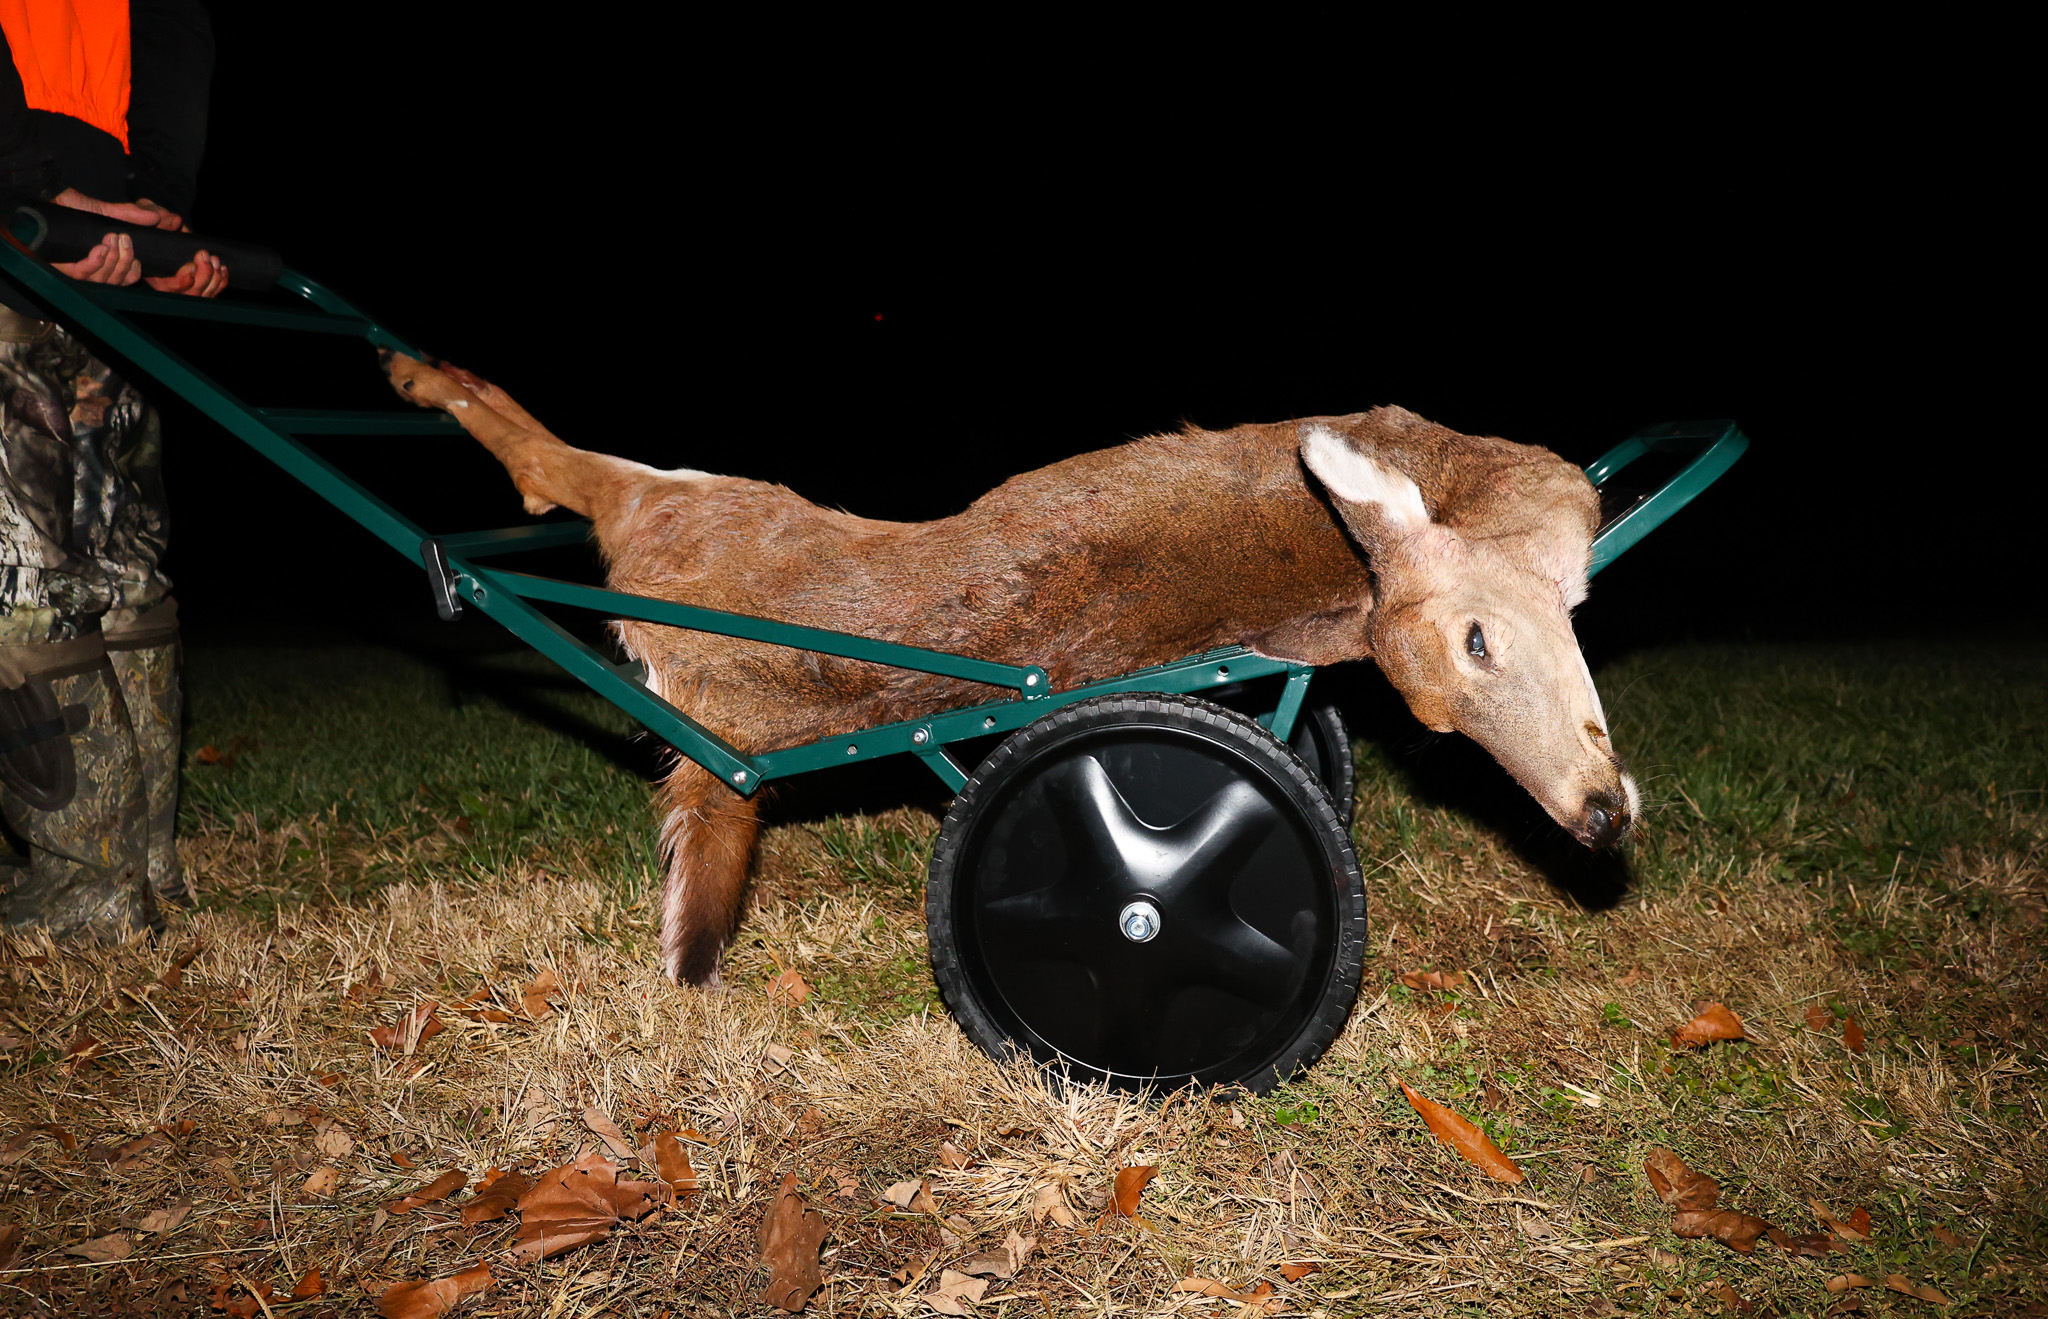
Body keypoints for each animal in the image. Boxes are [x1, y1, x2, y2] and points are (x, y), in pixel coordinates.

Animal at [382, 352, 1637, 986]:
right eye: (1473, 643)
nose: (1598, 814)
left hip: (688, 505)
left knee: (555, 463)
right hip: (694, 494)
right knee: (550, 455)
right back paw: (414, 372)